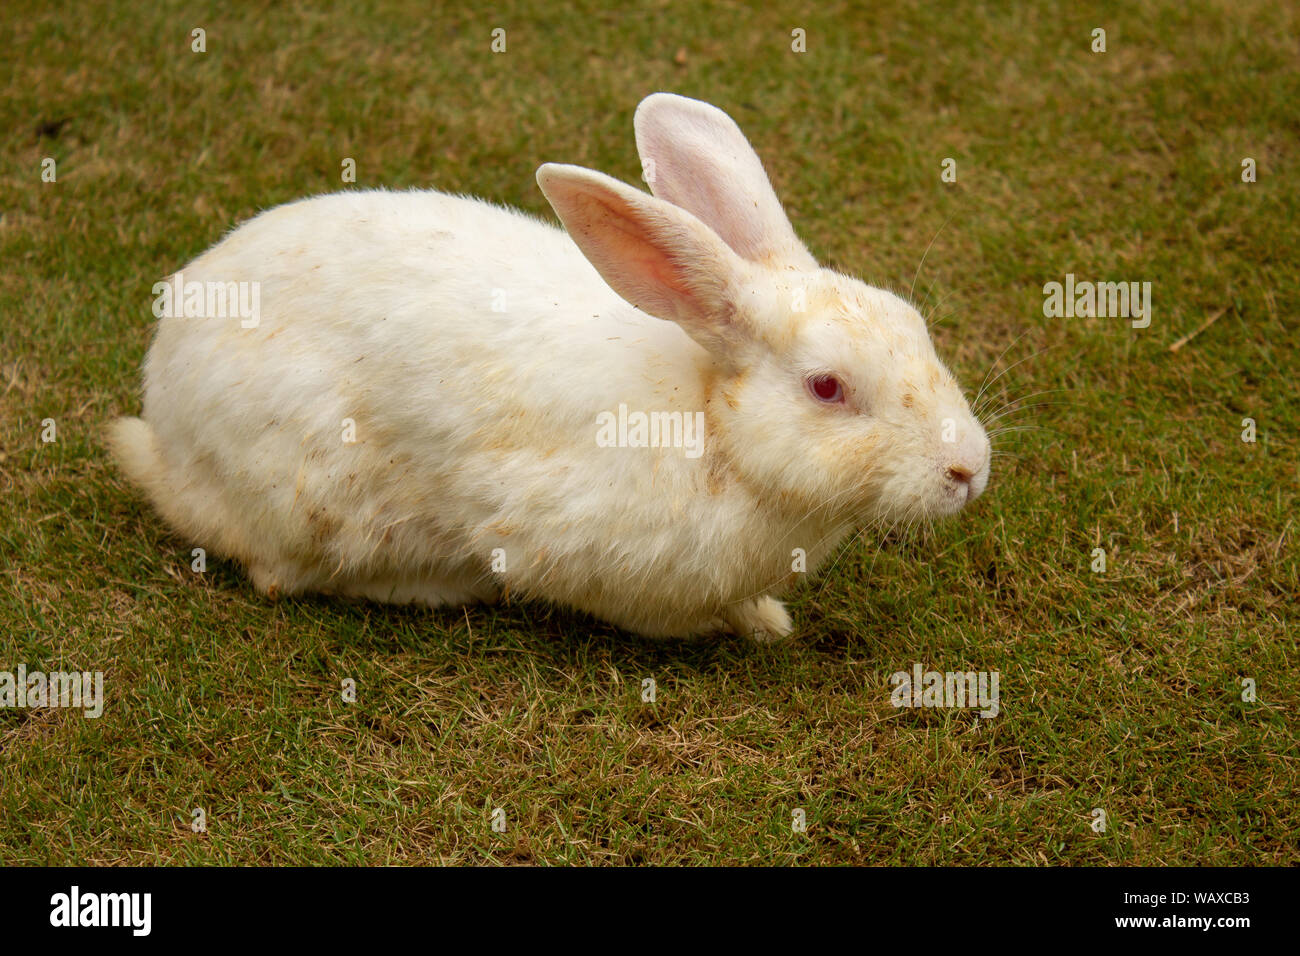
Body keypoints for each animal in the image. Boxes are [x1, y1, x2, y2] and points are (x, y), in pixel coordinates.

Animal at [109, 92, 991, 642]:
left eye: (915, 325)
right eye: (827, 387)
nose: (969, 469)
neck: (713, 424)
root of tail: (161, 433)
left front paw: (767, 620)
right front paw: (755, 626)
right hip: (309, 494)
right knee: (278, 573)